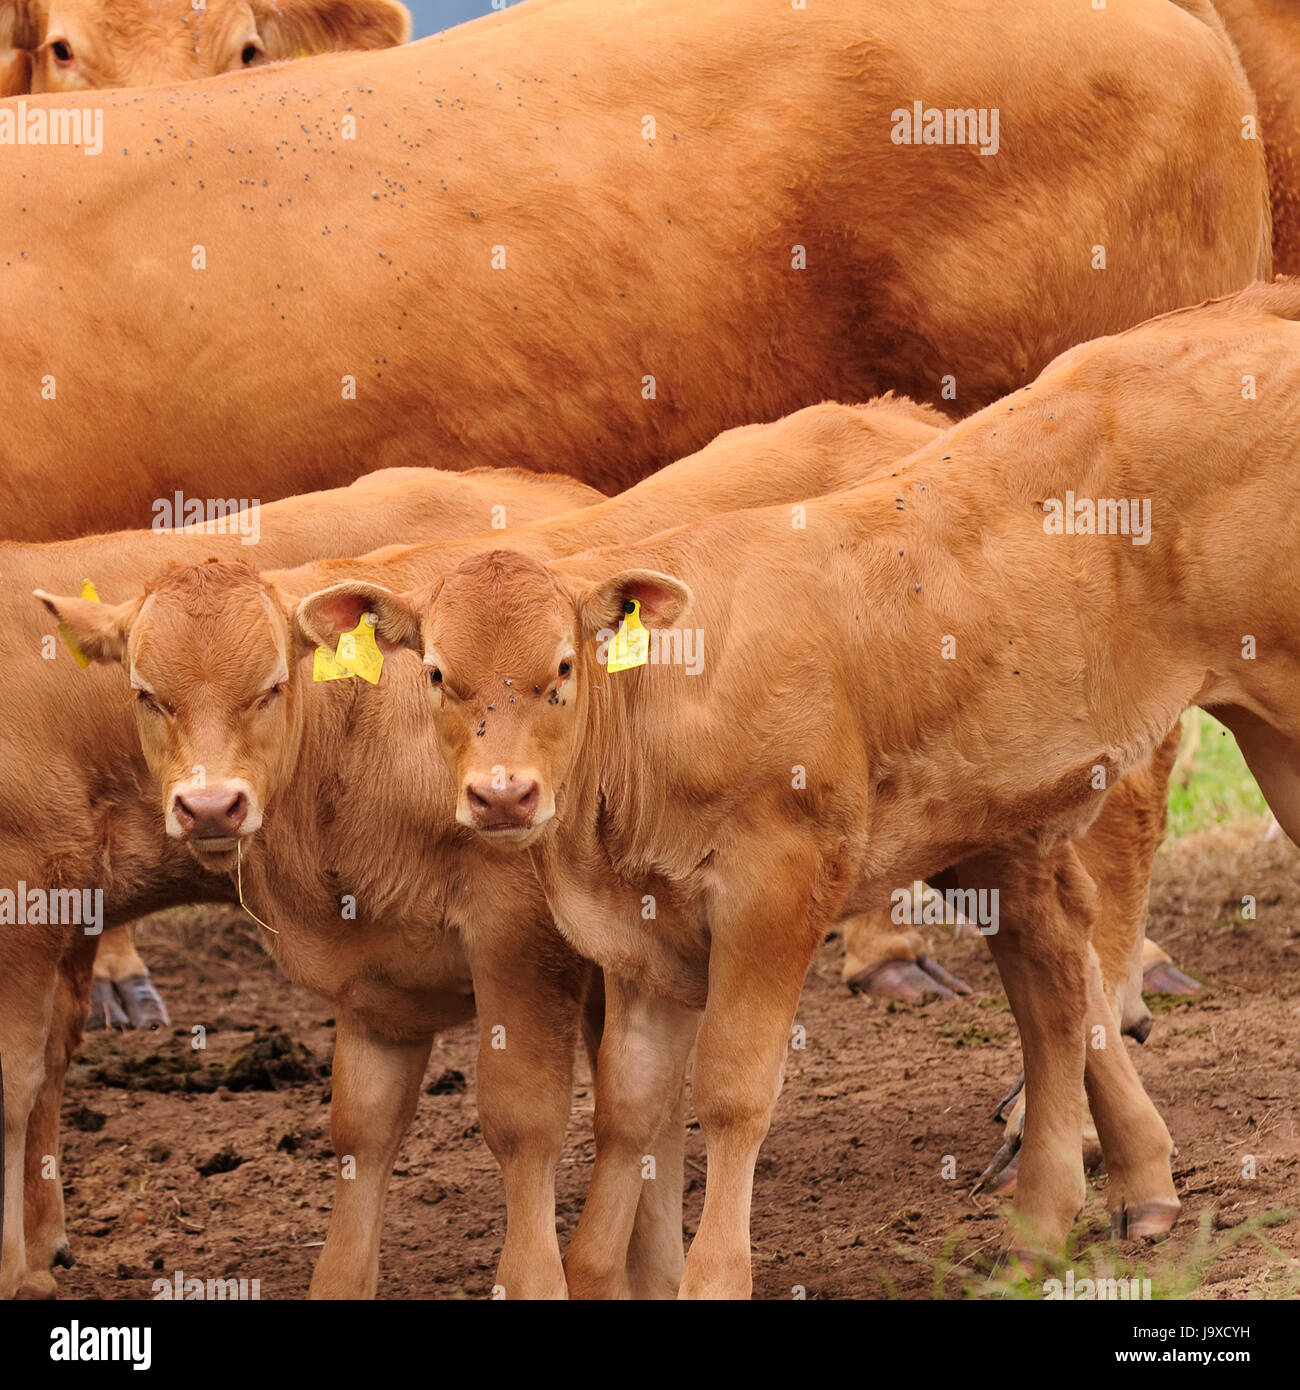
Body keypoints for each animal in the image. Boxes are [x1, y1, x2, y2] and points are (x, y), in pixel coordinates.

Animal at [327, 281, 1300, 1295]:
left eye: (562, 667)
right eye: (437, 673)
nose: (503, 796)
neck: (662, 702)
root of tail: (1246, 308)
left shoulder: (776, 891)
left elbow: (731, 1092)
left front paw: (714, 1274)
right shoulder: (643, 940)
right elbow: (631, 1109)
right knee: (1056, 981)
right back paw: (1047, 1222)